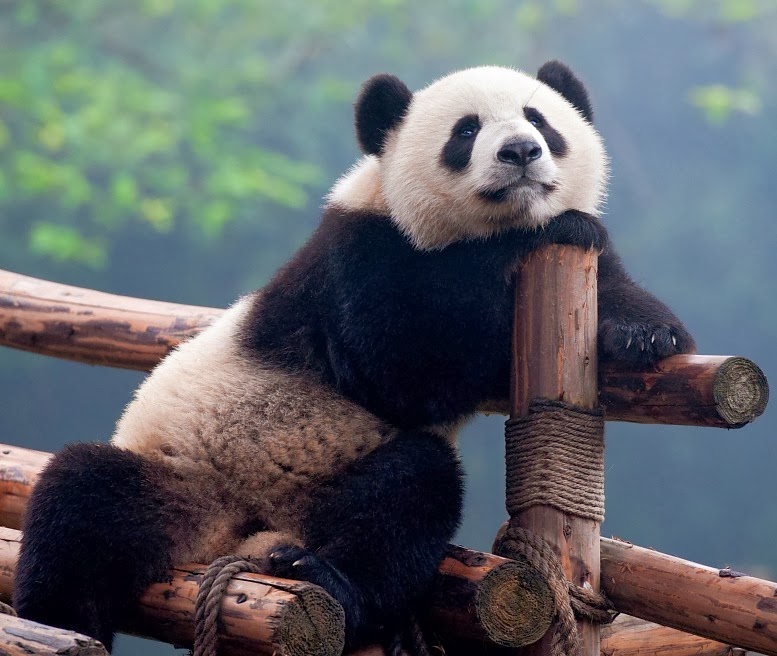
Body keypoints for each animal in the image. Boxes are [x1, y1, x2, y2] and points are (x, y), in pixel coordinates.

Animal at [14, 61, 695, 651]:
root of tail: (240, 537)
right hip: (182, 477)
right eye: (466, 130)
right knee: (81, 506)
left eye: (539, 118)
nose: (522, 152)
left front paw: (642, 334)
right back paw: (63, 627)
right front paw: (540, 237)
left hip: (327, 488)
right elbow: (404, 365)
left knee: (405, 494)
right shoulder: (359, 255)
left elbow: (620, 295)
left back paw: (332, 580)